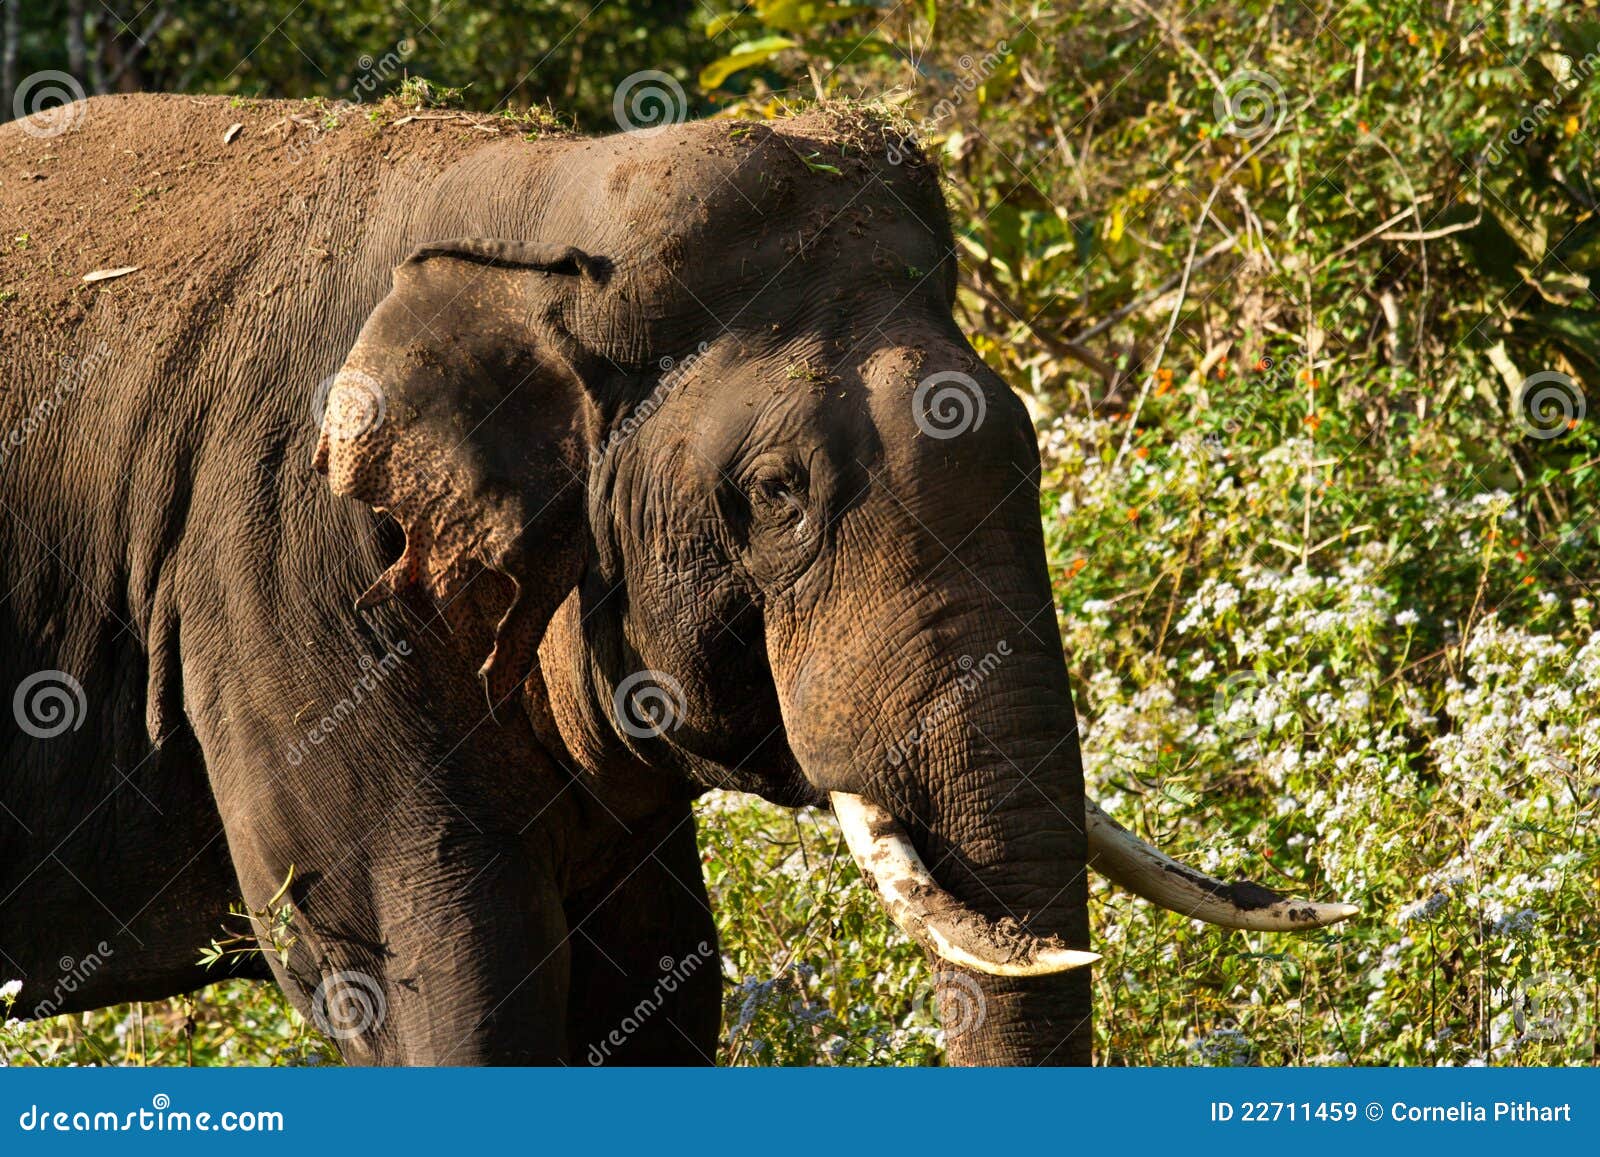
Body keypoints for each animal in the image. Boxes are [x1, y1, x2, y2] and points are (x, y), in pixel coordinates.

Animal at [0, 93, 1353, 1065]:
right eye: (778, 494)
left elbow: (656, 972)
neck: (542, 205)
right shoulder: (285, 579)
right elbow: (426, 972)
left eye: (1031, 448)